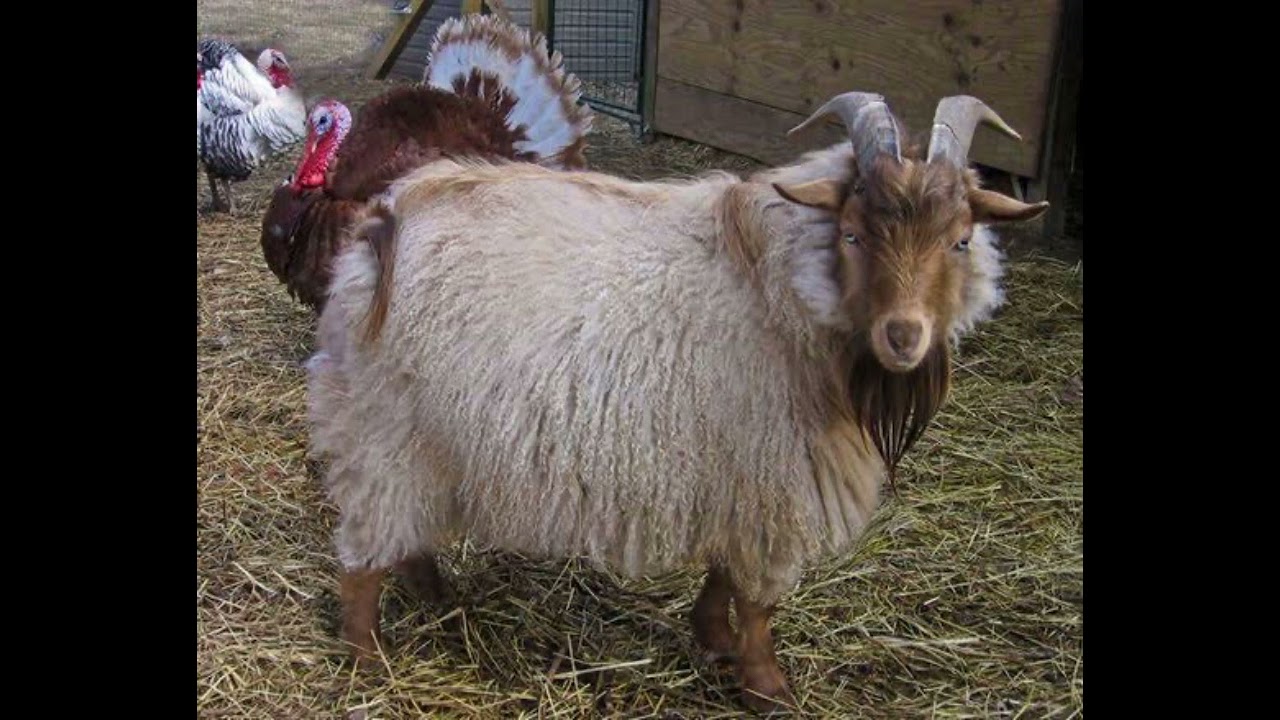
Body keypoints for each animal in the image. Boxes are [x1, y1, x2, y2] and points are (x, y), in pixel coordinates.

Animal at [304, 91, 1048, 712]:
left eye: (959, 239)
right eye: (853, 234)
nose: (904, 337)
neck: (784, 290)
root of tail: (388, 220)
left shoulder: (741, 479)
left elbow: (723, 577)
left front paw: (713, 640)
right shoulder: (775, 482)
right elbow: (757, 603)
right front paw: (767, 687)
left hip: (418, 440)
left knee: (402, 530)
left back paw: (435, 597)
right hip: (384, 425)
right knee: (363, 555)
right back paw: (368, 659)